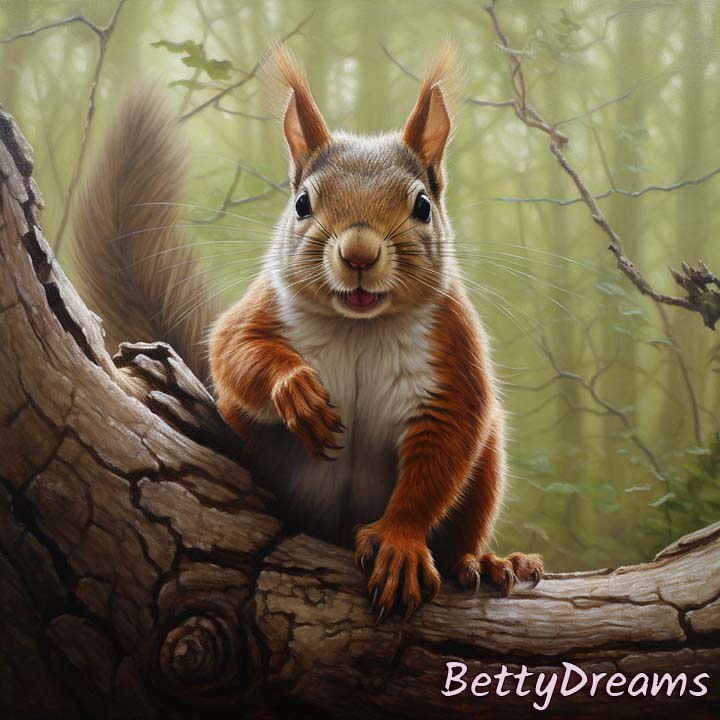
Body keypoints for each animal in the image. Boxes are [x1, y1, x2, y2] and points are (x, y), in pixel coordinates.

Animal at [74, 43, 543, 621]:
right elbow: (233, 352)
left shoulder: (452, 351)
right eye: (302, 203)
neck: (360, 326)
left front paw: (400, 544)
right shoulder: (263, 308)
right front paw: (295, 391)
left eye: (422, 206)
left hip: (486, 473)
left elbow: (441, 455)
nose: (358, 254)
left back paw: (488, 562)